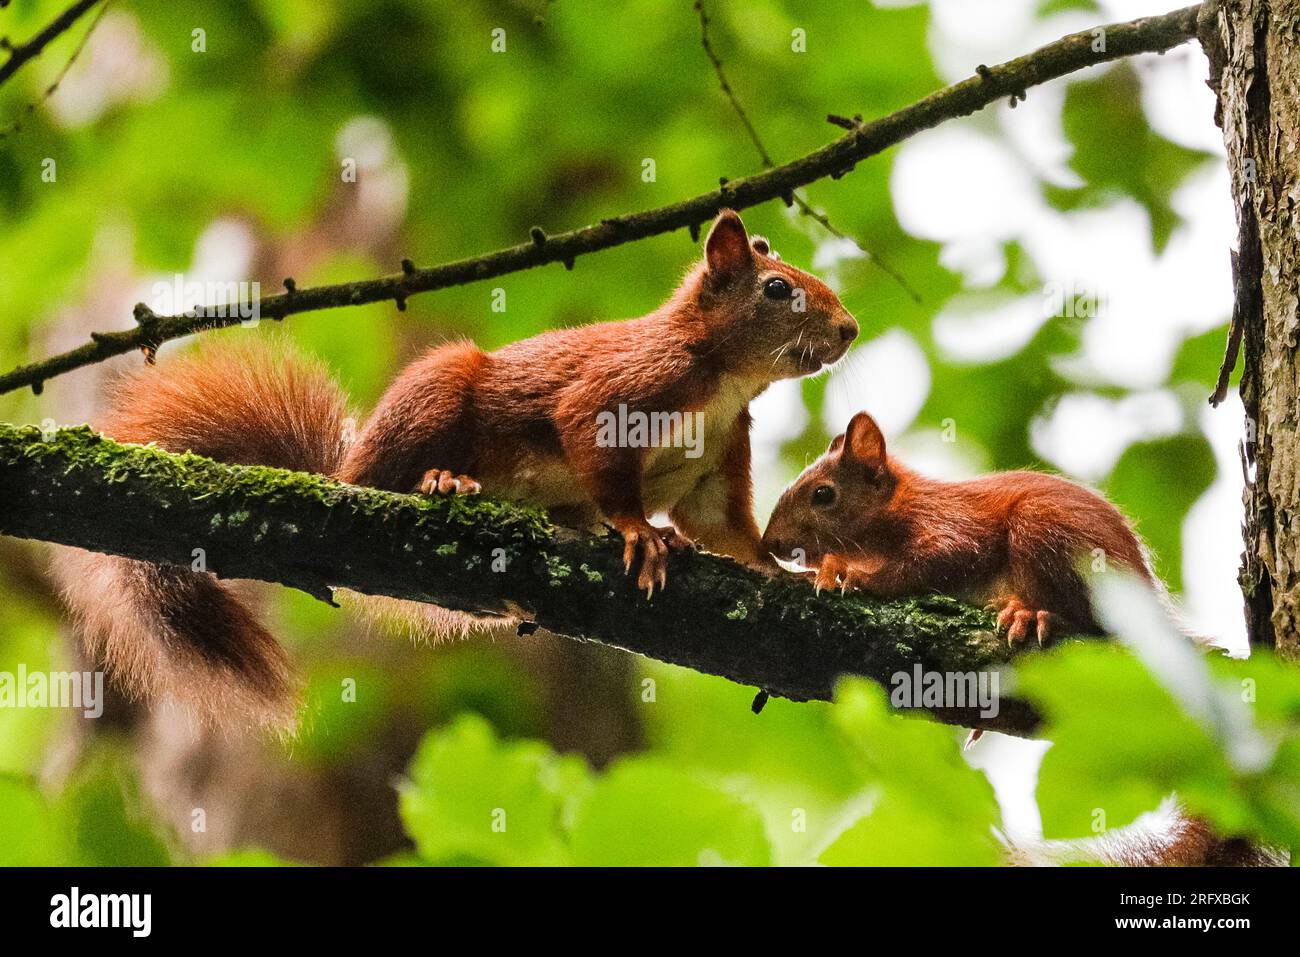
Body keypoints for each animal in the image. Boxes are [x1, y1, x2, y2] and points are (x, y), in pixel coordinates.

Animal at [54, 209, 859, 727]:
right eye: (778, 289)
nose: (849, 330)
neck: (726, 379)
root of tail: (341, 470)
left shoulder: (715, 463)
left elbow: (724, 528)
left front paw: (781, 569)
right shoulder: (615, 393)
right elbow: (601, 461)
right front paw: (638, 532)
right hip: (435, 399)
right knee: (383, 480)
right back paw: (441, 483)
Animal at [760, 409, 1282, 866]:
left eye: (823, 495)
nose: (771, 544)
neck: (899, 507)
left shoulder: (950, 528)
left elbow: (922, 565)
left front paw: (851, 573)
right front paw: (828, 568)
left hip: (1046, 530)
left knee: (1087, 622)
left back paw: (1031, 615)